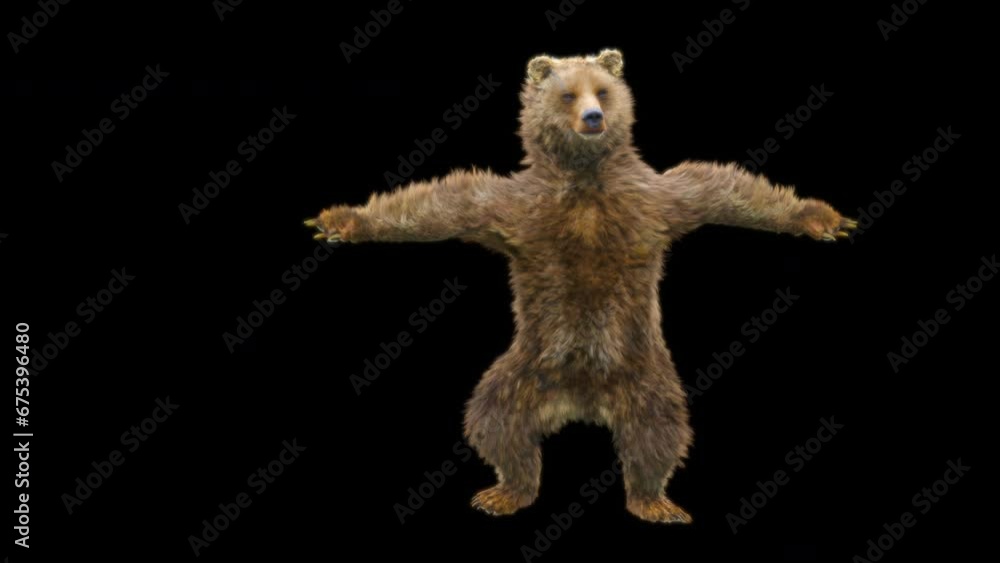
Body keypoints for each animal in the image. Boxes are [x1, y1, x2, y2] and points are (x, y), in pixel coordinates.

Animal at [305, 49, 855, 524]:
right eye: (568, 94)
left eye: (603, 91)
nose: (593, 118)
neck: (585, 180)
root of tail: (583, 402)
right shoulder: (514, 210)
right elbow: (437, 205)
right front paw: (343, 221)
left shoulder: (653, 202)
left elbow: (726, 189)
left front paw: (819, 218)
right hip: (523, 371)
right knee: (494, 422)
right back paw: (505, 492)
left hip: (645, 376)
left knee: (659, 433)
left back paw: (654, 500)